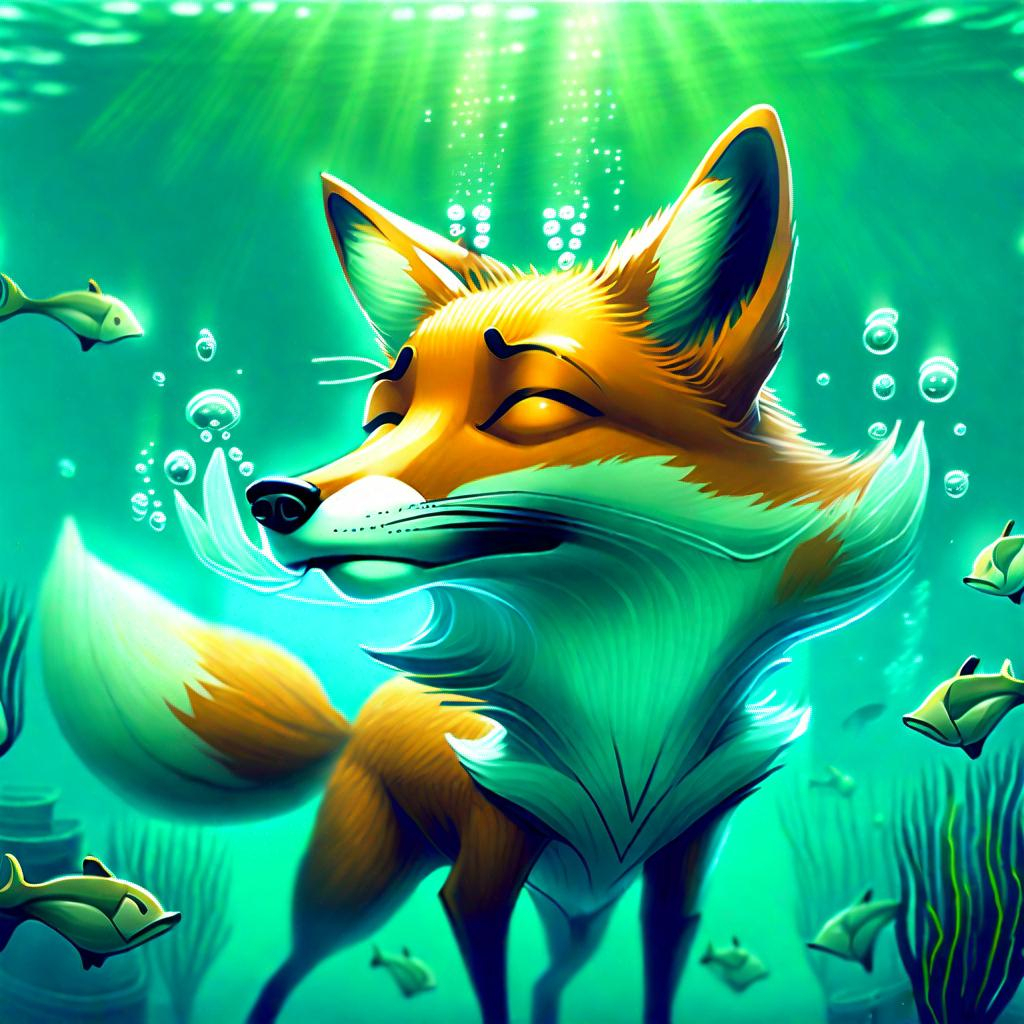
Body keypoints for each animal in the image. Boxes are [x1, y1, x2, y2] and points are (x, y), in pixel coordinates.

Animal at [38, 106, 928, 1024]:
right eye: (384, 418)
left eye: (532, 403)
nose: (273, 500)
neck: (628, 695)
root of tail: (356, 720)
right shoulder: (483, 870)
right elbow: (490, 983)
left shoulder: (682, 866)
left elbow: (648, 978)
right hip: (358, 889)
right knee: (290, 967)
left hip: (578, 913)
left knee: (547, 981)